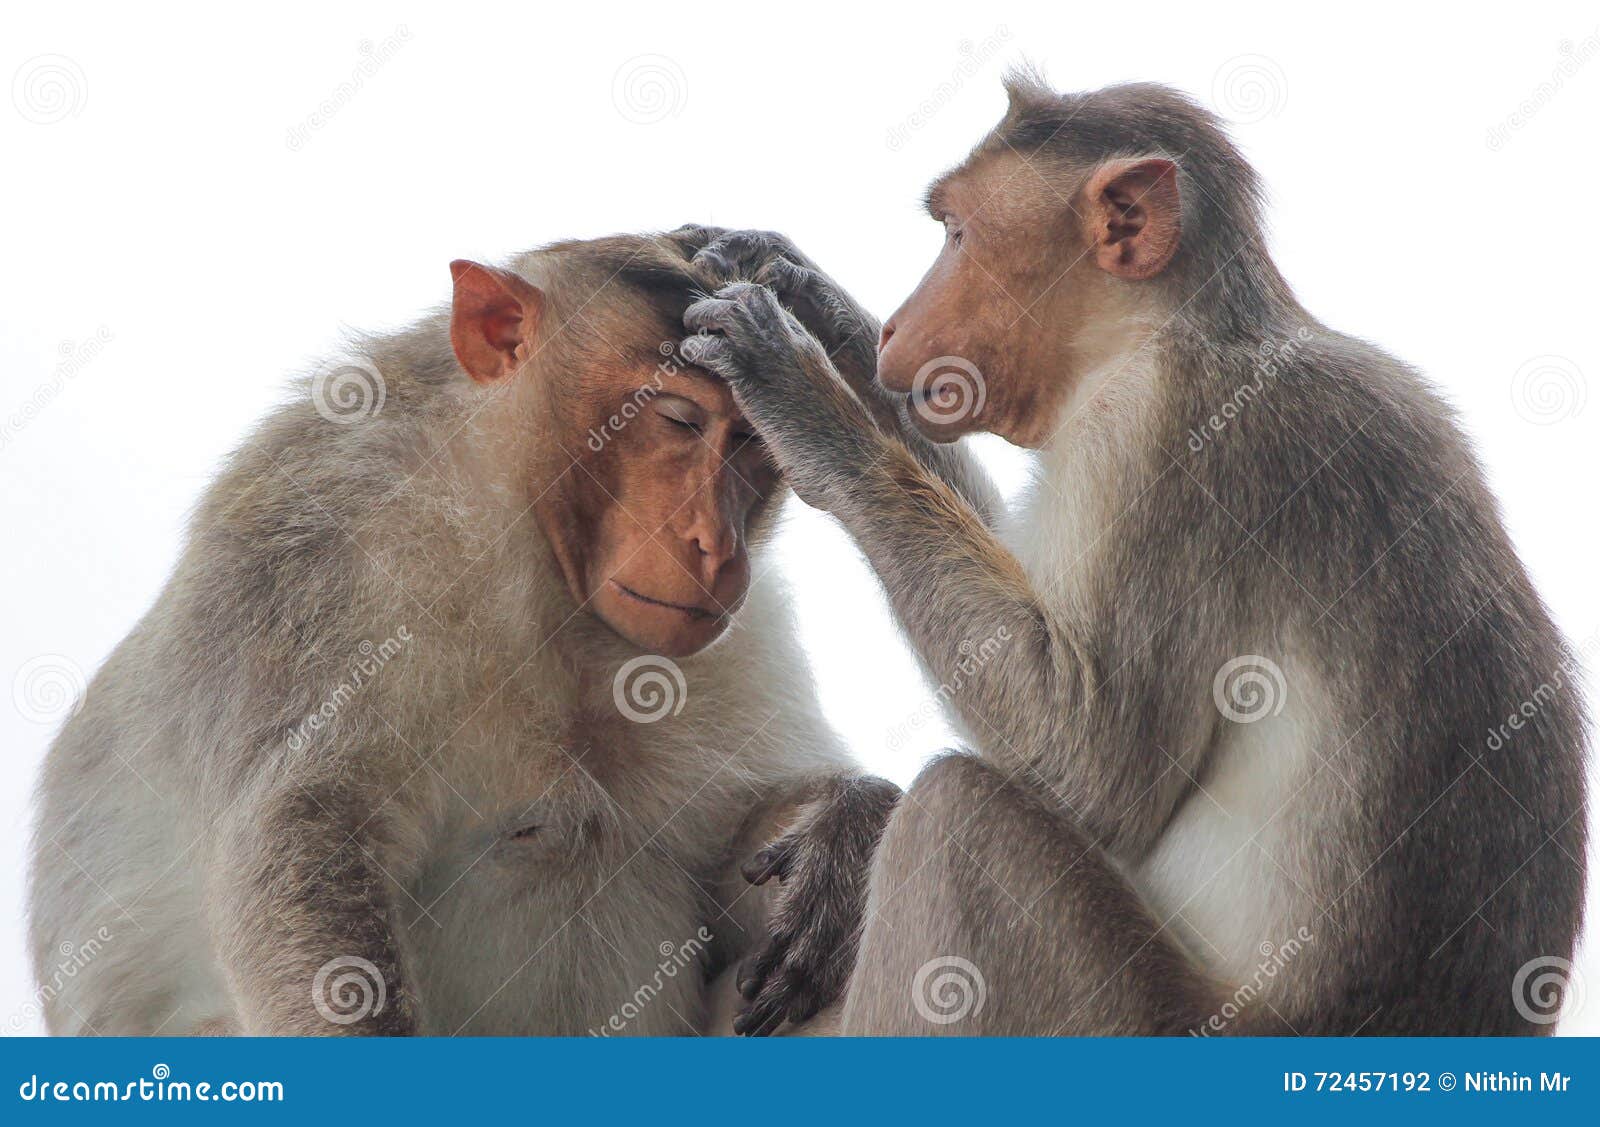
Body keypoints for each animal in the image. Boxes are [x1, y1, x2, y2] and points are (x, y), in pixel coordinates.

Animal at [26, 229, 899, 1036]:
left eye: (752, 439)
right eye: (679, 419)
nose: (714, 546)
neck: (534, 549)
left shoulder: (744, 633)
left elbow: (730, 862)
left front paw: (846, 832)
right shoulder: (327, 544)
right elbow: (303, 838)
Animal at [678, 74, 1589, 1035]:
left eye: (957, 234)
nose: (894, 330)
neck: (1153, 335)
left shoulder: (1157, 435)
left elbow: (1088, 759)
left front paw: (804, 401)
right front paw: (805, 291)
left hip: (1125, 1014)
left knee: (960, 819)